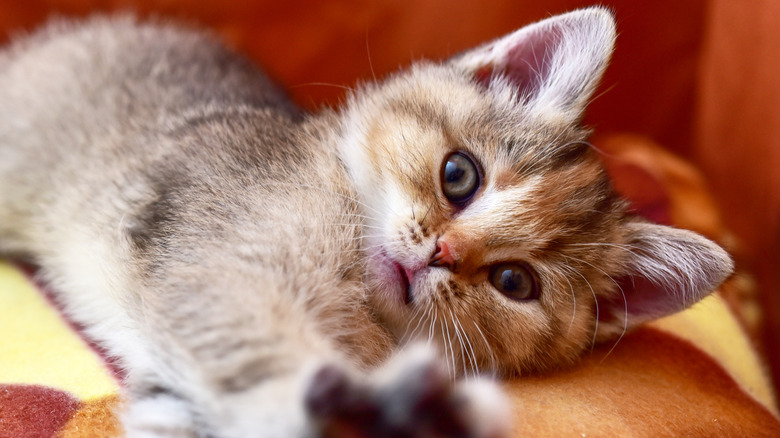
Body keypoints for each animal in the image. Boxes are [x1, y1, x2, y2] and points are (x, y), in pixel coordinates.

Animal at [0, 7, 732, 438]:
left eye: (514, 283)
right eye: (459, 175)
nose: (440, 252)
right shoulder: (220, 271)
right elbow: (264, 358)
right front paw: (325, 402)